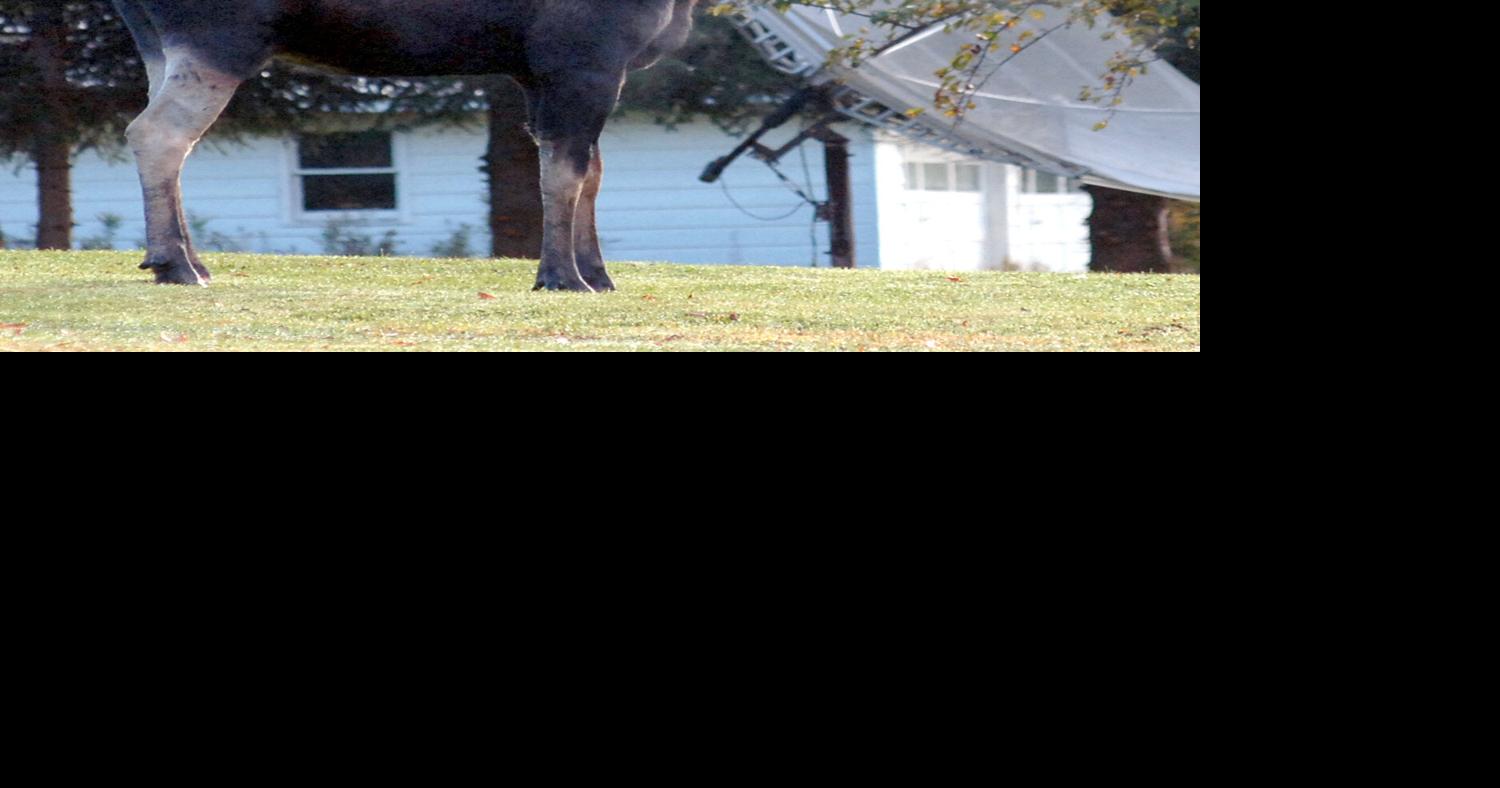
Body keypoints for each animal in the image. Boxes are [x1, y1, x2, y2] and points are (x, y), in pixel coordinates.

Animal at [111, 0, 700, 291]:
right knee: (156, 133)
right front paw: (562, 279)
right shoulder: (581, 60)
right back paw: (175, 265)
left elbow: (589, 173)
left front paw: (597, 274)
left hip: (159, 44)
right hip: (222, 39)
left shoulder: (540, 74)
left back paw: (188, 261)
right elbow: (567, 174)